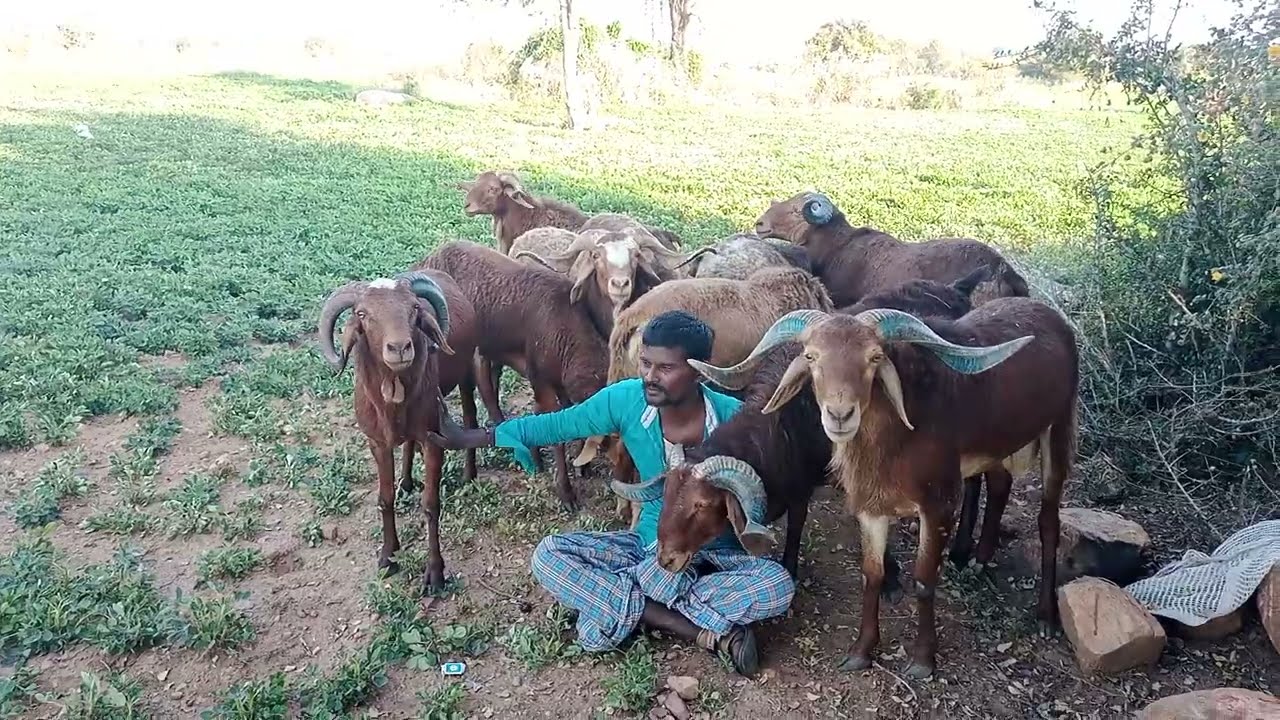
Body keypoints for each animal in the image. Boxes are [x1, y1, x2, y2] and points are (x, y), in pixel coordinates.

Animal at [317, 270, 481, 593]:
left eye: (414, 308)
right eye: (362, 314)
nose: (399, 348)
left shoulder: (434, 440)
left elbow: (431, 505)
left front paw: (435, 573)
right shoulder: (376, 442)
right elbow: (385, 498)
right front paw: (388, 556)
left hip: (468, 372)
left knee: (471, 418)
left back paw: (469, 475)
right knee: (406, 445)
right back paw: (406, 481)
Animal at [687, 298, 1078, 678]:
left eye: (874, 357)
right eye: (811, 356)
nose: (839, 415)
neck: (903, 435)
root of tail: (1051, 315)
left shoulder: (937, 506)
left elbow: (924, 580)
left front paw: (923, 659)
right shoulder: (870, 507)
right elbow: (871, 575)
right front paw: (861, 651)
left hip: (1059, 428)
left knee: (1048, 521)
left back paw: (1045, 616)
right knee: (1000, 483)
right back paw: (978, 561)